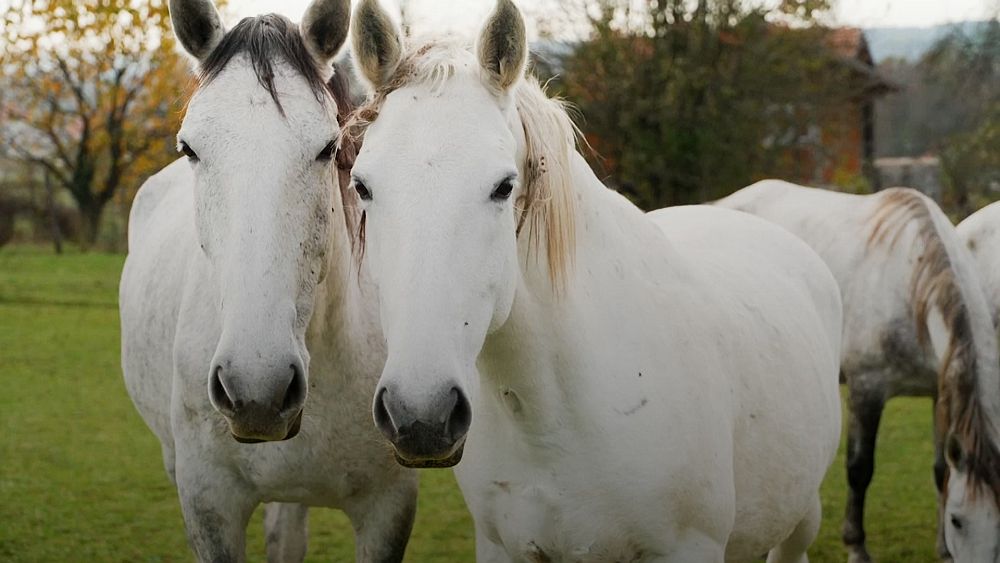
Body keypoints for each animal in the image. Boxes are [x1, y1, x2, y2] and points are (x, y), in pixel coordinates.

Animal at [344, 1, 842, 560]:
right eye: (361, 185)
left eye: (504, 187)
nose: (420, 415)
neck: (555, 413)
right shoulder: (501, 546)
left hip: (801, 518)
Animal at [717, 180, 1000, 562]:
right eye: (958, 520)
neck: (910, 281)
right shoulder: (867, 388)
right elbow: (859, 469)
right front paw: (856, 546)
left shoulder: (938, 391)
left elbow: (941, 469)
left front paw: (941, 549)